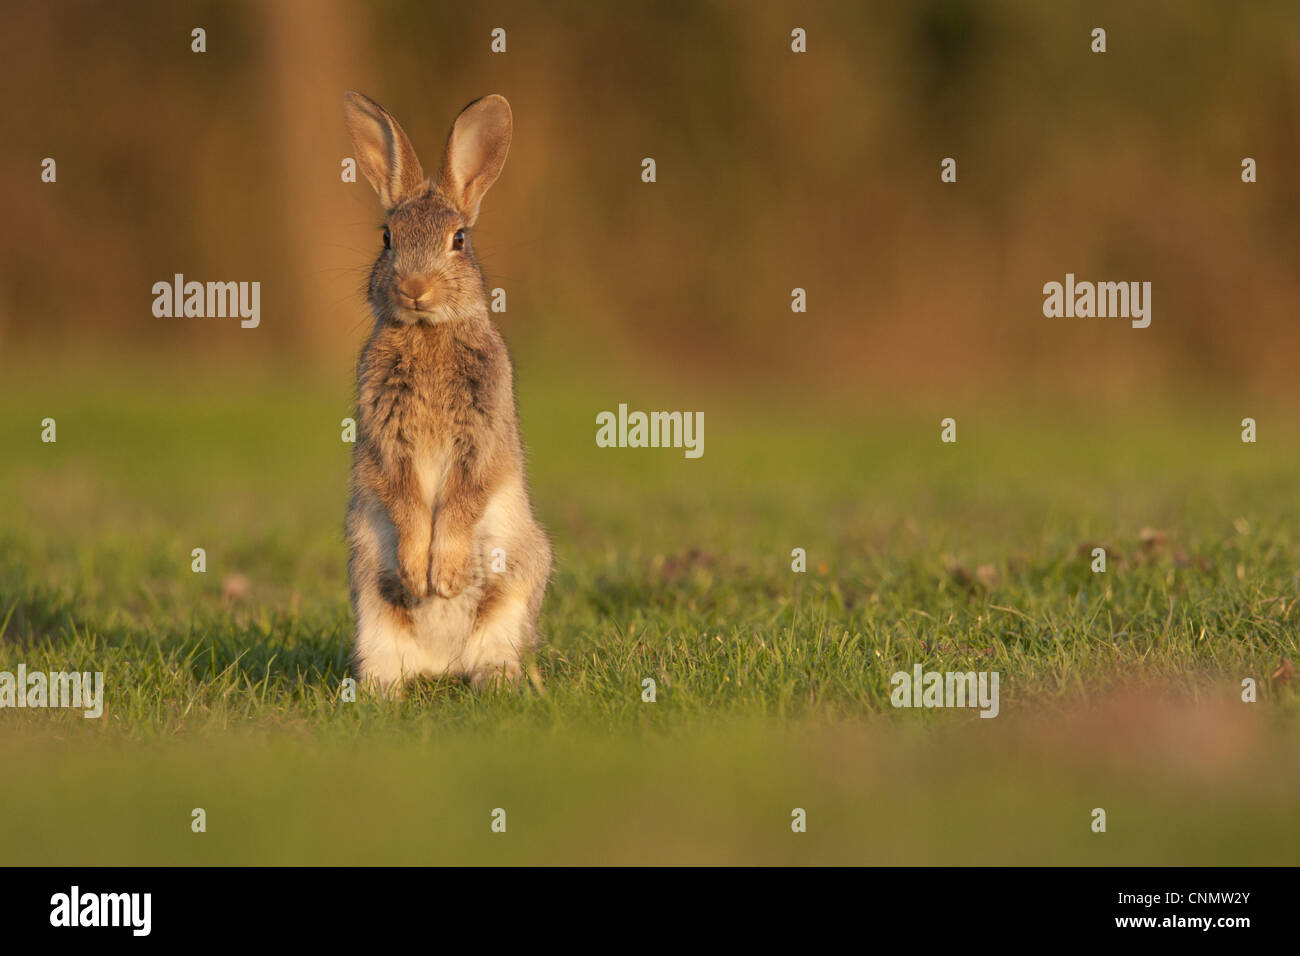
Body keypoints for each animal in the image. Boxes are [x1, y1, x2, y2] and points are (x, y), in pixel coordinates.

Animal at [342, 91, 551, 692]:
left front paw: (446, 576)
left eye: (460, 240)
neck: (429, 331)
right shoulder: (387, 440)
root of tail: (441, 664)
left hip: (516, 585)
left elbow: (463, 498)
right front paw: (420, 577)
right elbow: (405, 499)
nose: (415, 288)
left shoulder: (480, 437)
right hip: (370, 599)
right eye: (387, 238)